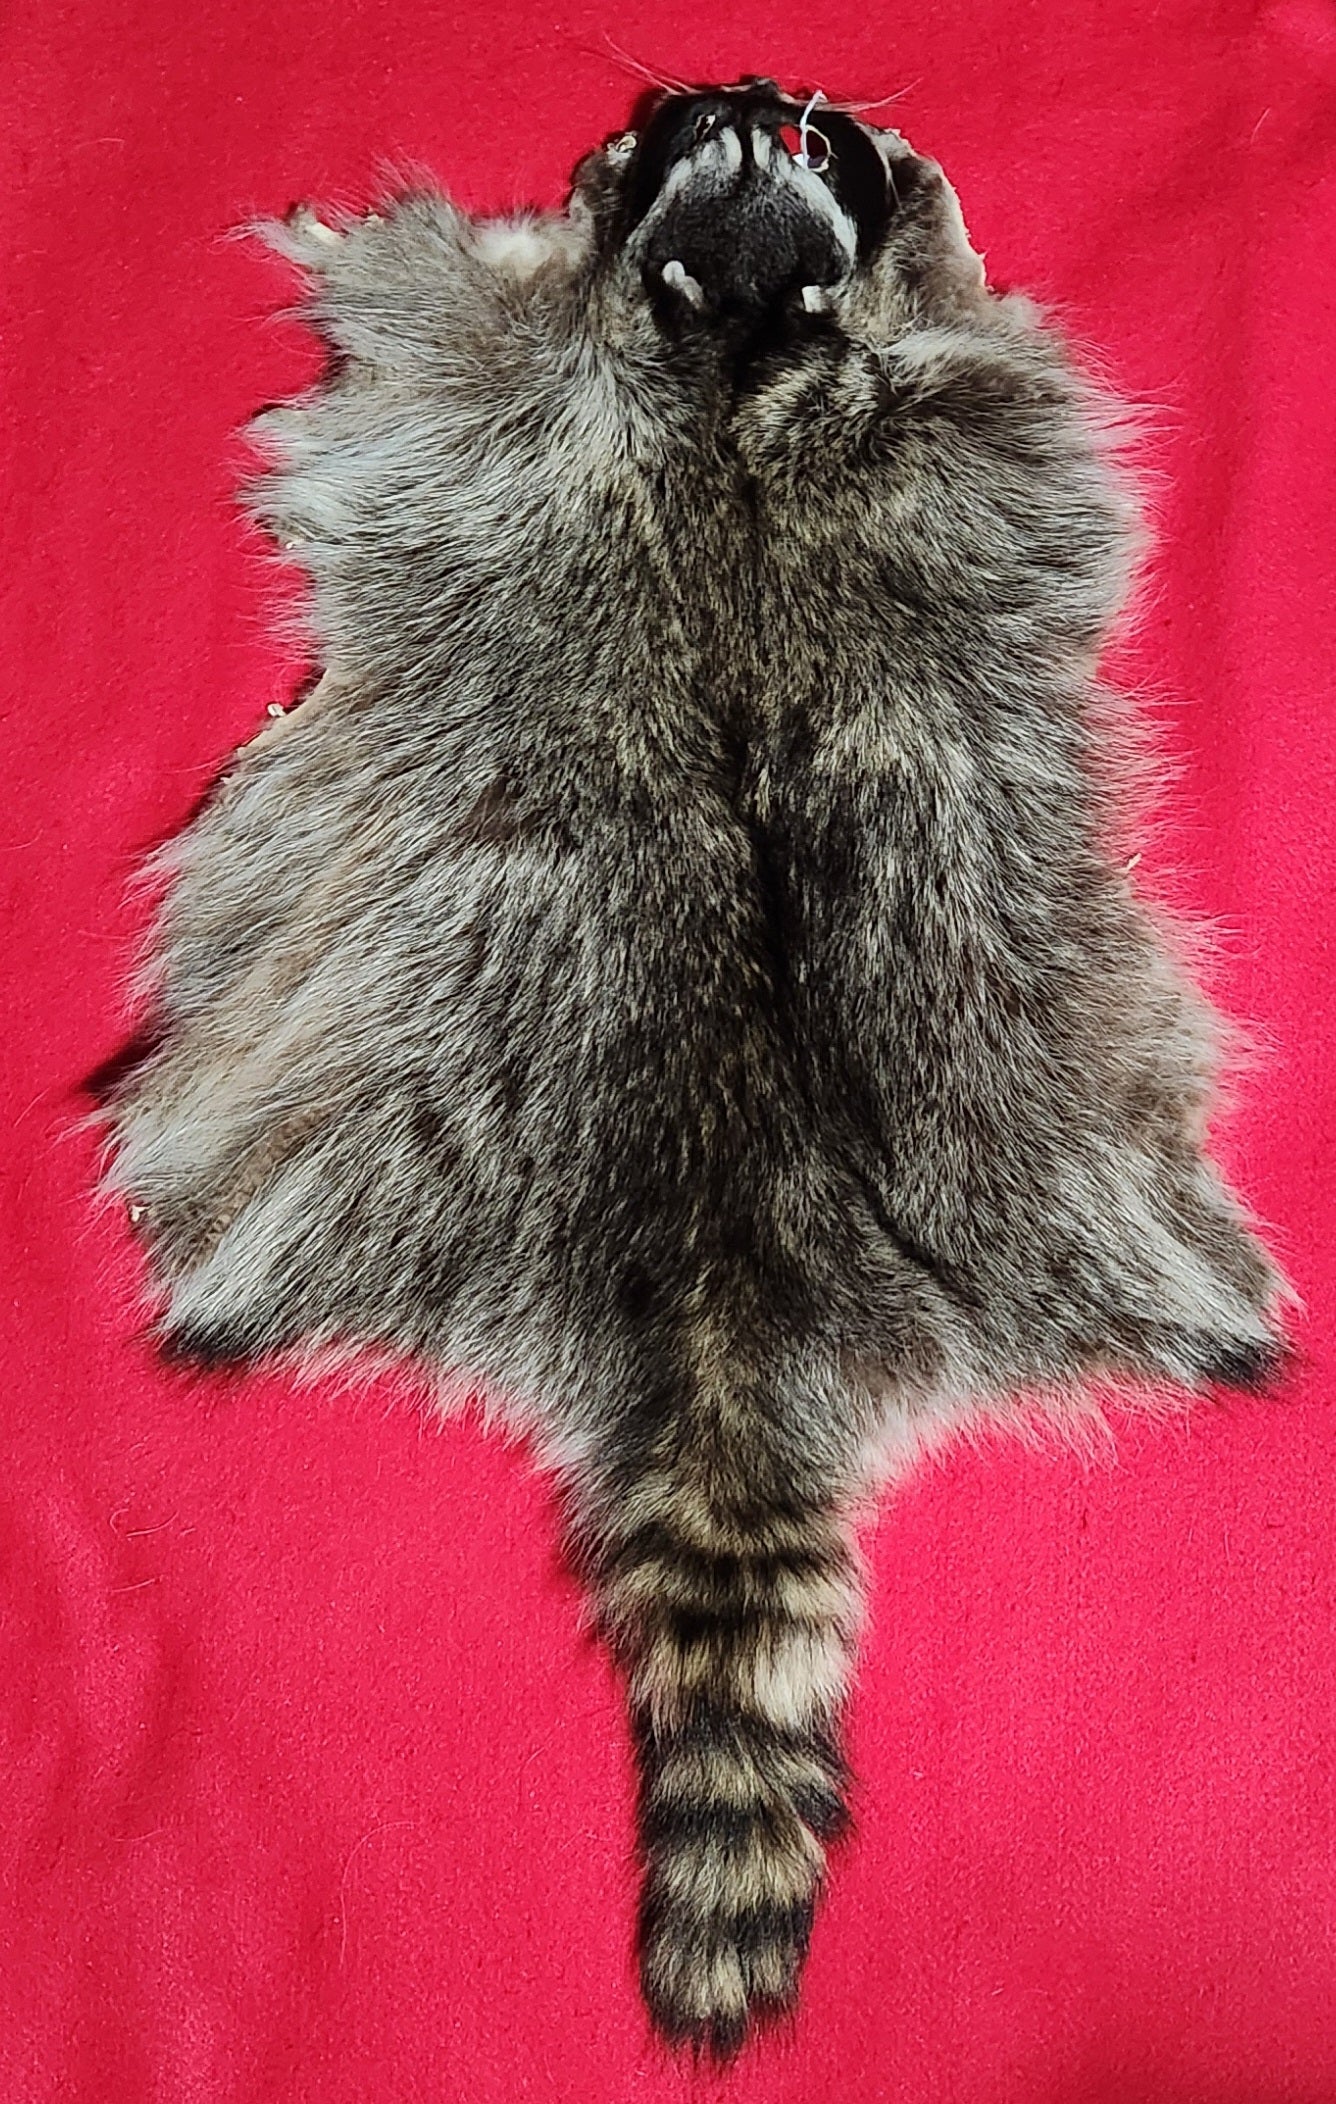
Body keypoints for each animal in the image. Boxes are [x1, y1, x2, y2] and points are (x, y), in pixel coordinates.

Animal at [107, 80, 1286, 2056]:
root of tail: (732, 1284)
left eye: (812, 137)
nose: (739, 94)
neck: (734, 358)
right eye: (712, 137)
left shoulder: (648, 389)